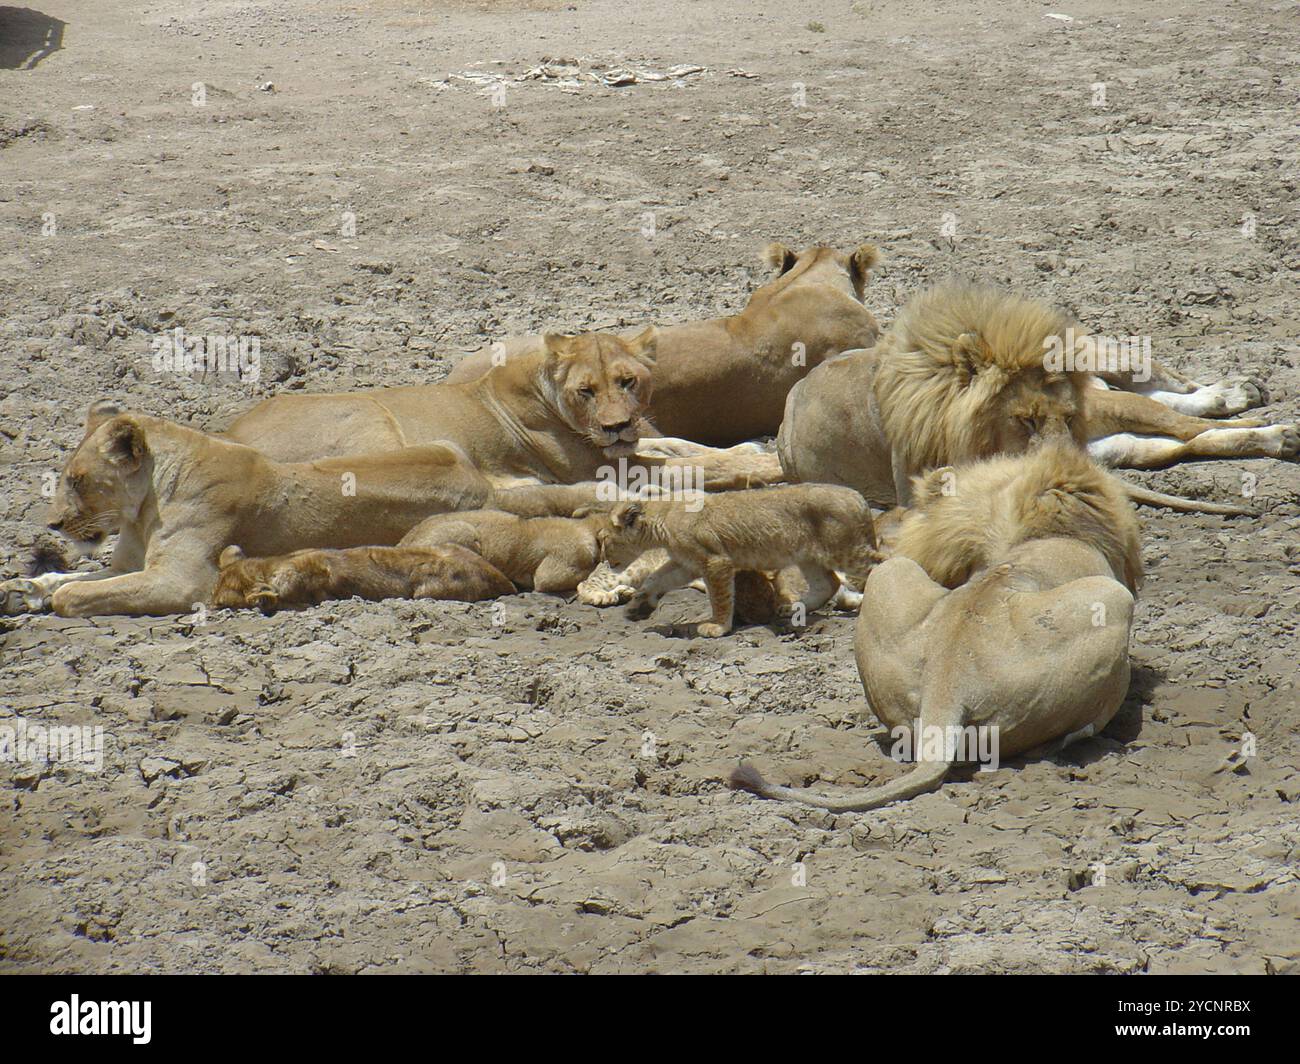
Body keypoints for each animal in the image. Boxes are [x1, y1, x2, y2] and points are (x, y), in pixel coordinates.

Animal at [0, 401, 496, 617]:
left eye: (78, 480)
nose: (53, 524)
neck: (140, 511)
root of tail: (477, 476)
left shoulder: (182, 582)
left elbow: (72, 594)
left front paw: (48, 598)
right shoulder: (129, 566)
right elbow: (68, 578)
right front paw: (22, 590)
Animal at [598, 485, 880, 637]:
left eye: (604, 539)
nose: (604, 561)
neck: (663, 515)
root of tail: (859, 498)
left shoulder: (715, 560)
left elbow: (720, 597)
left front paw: (718, 627)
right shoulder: (685, 563)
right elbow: (655, 579)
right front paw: (637, 607)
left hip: (844, 549)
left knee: (878, 564)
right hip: (808, 555)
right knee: (828, 584)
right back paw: (792, 609)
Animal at [777, 282, 1286, 514]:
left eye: (1060, 416)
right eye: (1024, 421)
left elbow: (1186, 420)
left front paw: (1266, 426)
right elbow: (1188, 438)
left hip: (1103, 359)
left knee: (1172, 392)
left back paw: (1239, 396)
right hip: (1117, 433)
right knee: (1171, 422)